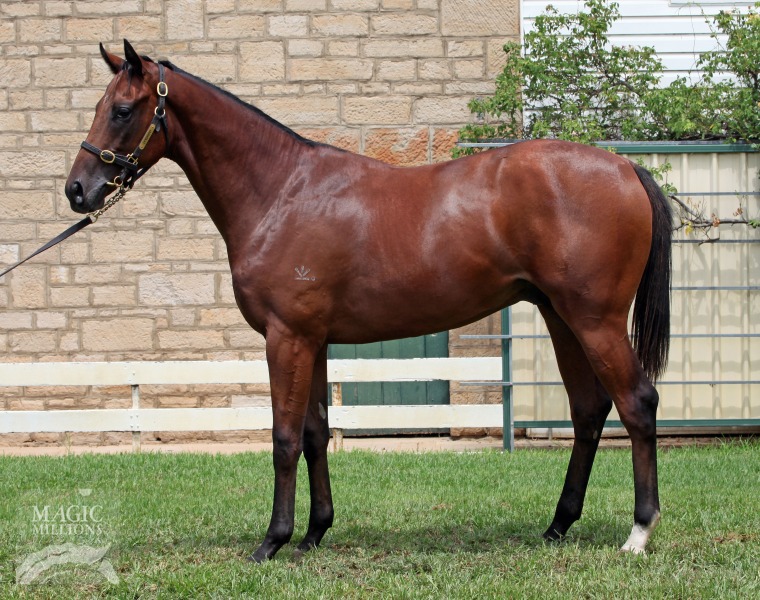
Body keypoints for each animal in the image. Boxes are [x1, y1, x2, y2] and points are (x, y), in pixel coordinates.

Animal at [65, 41, 672, 561]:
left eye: (122, 110)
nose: (77, 190)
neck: (281, 191)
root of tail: (626, 166)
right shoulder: (312, 340)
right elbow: (314, 434)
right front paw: (313, 535)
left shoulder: (286, 338)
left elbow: (284, 438)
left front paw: (271, 543)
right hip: (560, 316)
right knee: (589, 409)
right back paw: (557, 525)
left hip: (595, 320)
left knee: (637, 403)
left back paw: (639, 533)